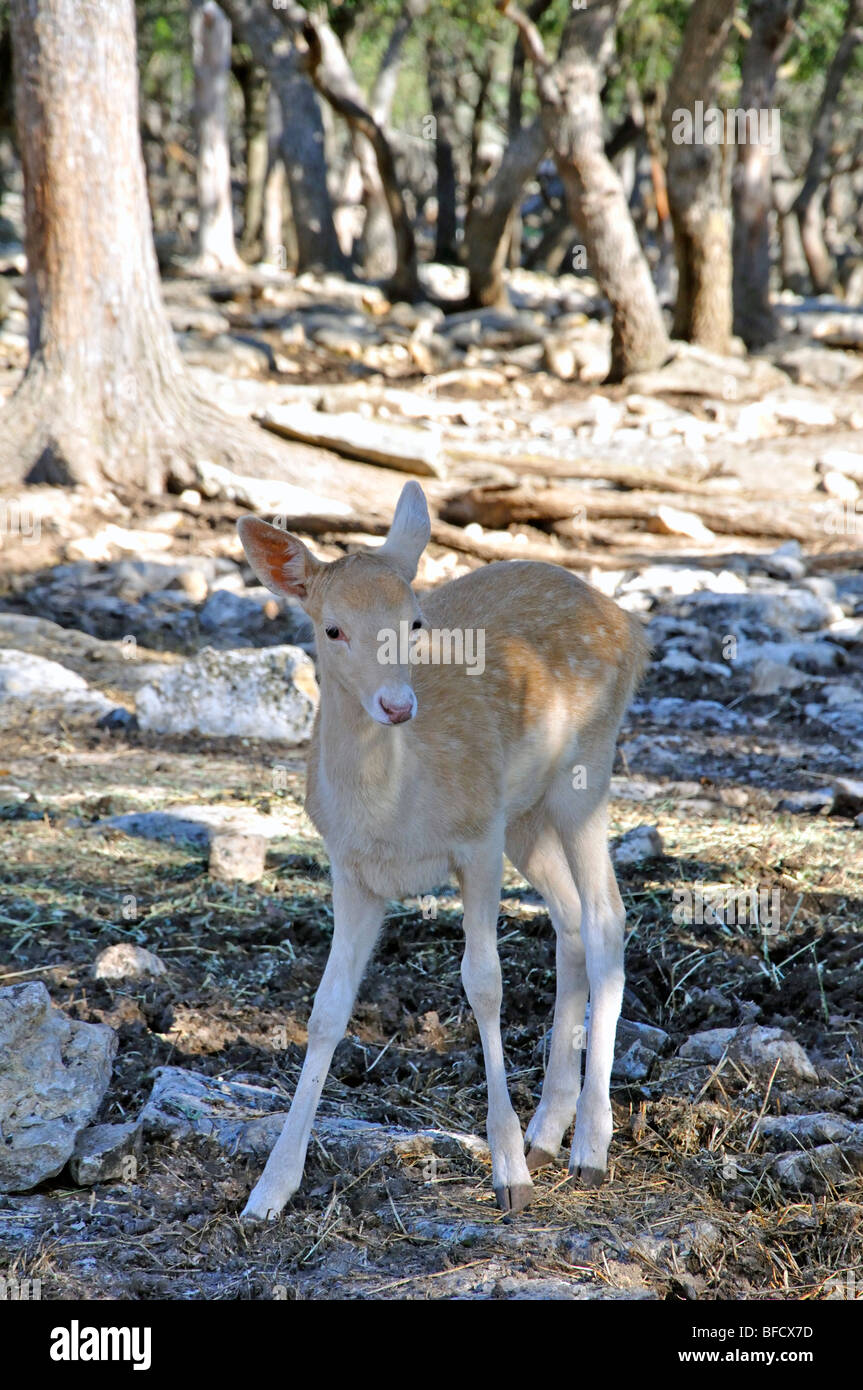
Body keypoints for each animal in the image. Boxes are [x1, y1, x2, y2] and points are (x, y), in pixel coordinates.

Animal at [236, 481, 649, 1222]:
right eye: (331, 628)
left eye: (415, 622)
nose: (397, 705)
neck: (396, 812)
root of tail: (634, 628)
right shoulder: (350, 869)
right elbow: (325, 1010)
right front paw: (269, 1191)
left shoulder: (475, 839)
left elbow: (484, 984)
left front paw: (507, 1174)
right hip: (525, 816)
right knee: (570, 920)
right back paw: (549, 1129)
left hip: (584, 774)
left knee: (606, 918)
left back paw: (589, 1146)